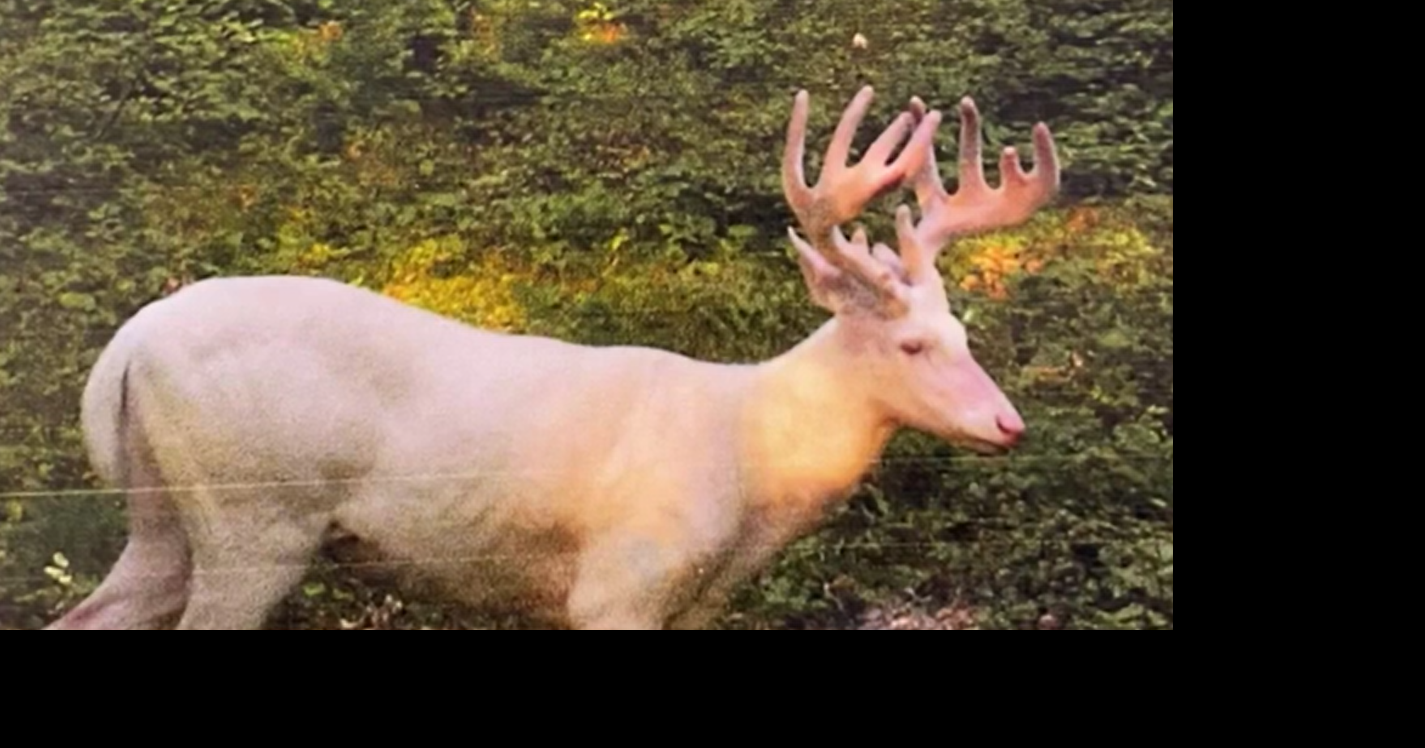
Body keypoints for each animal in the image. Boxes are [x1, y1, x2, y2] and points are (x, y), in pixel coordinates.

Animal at [45, 86, 1059, 630]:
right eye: (911, 342)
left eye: (966, 333)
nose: (1008, 423)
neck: (747, 462)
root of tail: (127, 345)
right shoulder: (619, 580)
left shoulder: (694, 604)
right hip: (255, 512)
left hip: (165, 514)